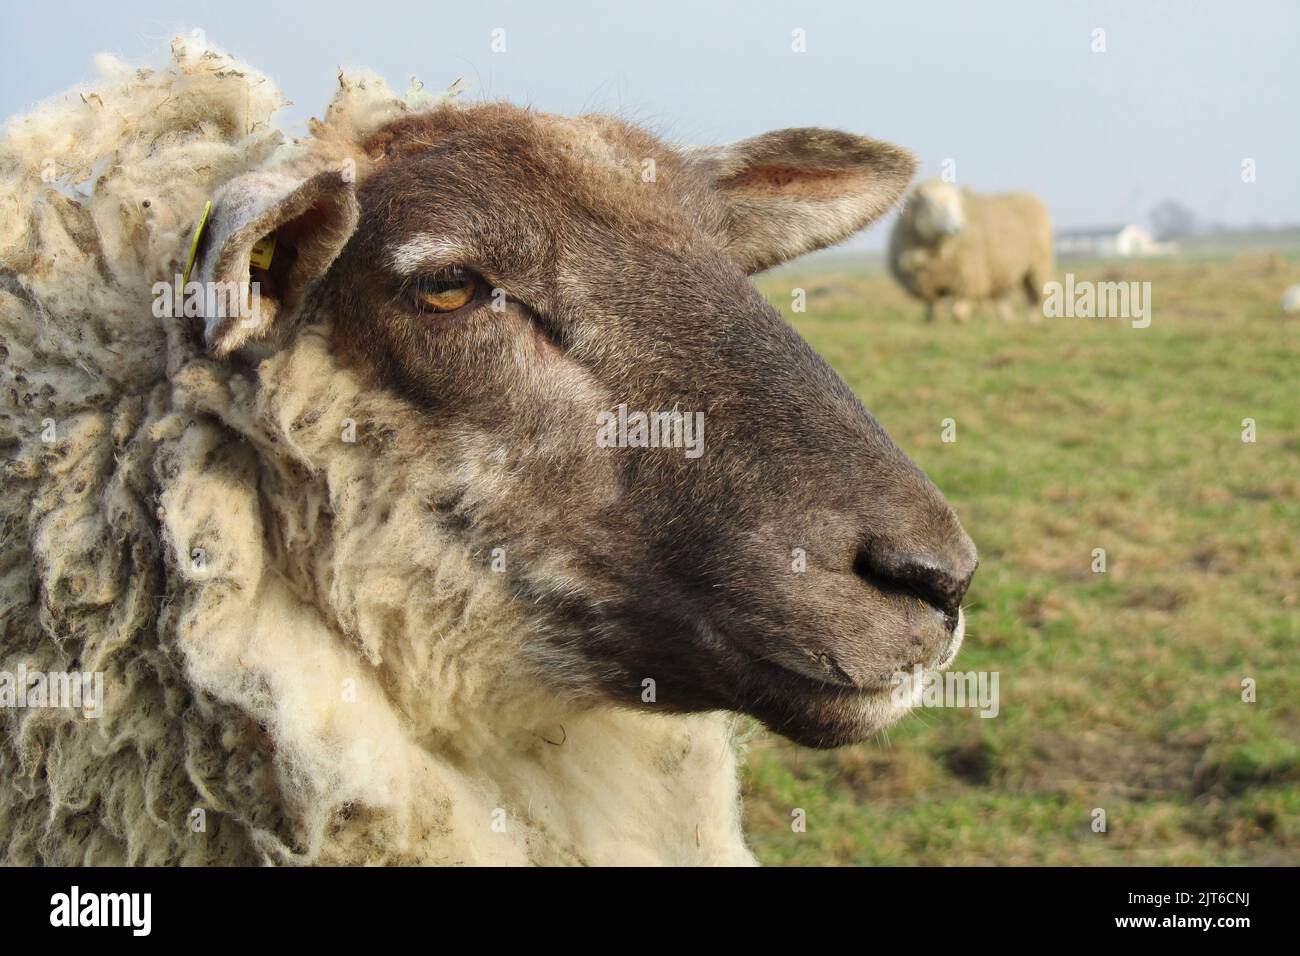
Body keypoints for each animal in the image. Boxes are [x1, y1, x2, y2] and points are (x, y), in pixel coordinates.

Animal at [888, 179, 1054, 321]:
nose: (958, 227)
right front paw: (932, 319)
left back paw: (1032, 320)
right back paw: (1006, 319)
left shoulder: (969, 274)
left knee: (1032, 297)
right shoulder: (929, 282)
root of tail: (1027, 194)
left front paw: (960, 317)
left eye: (957, 205)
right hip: (1004, 270)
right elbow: (932, 304)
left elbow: (961, 303)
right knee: (1004, 296)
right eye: (934, 205)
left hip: (1037, 266)